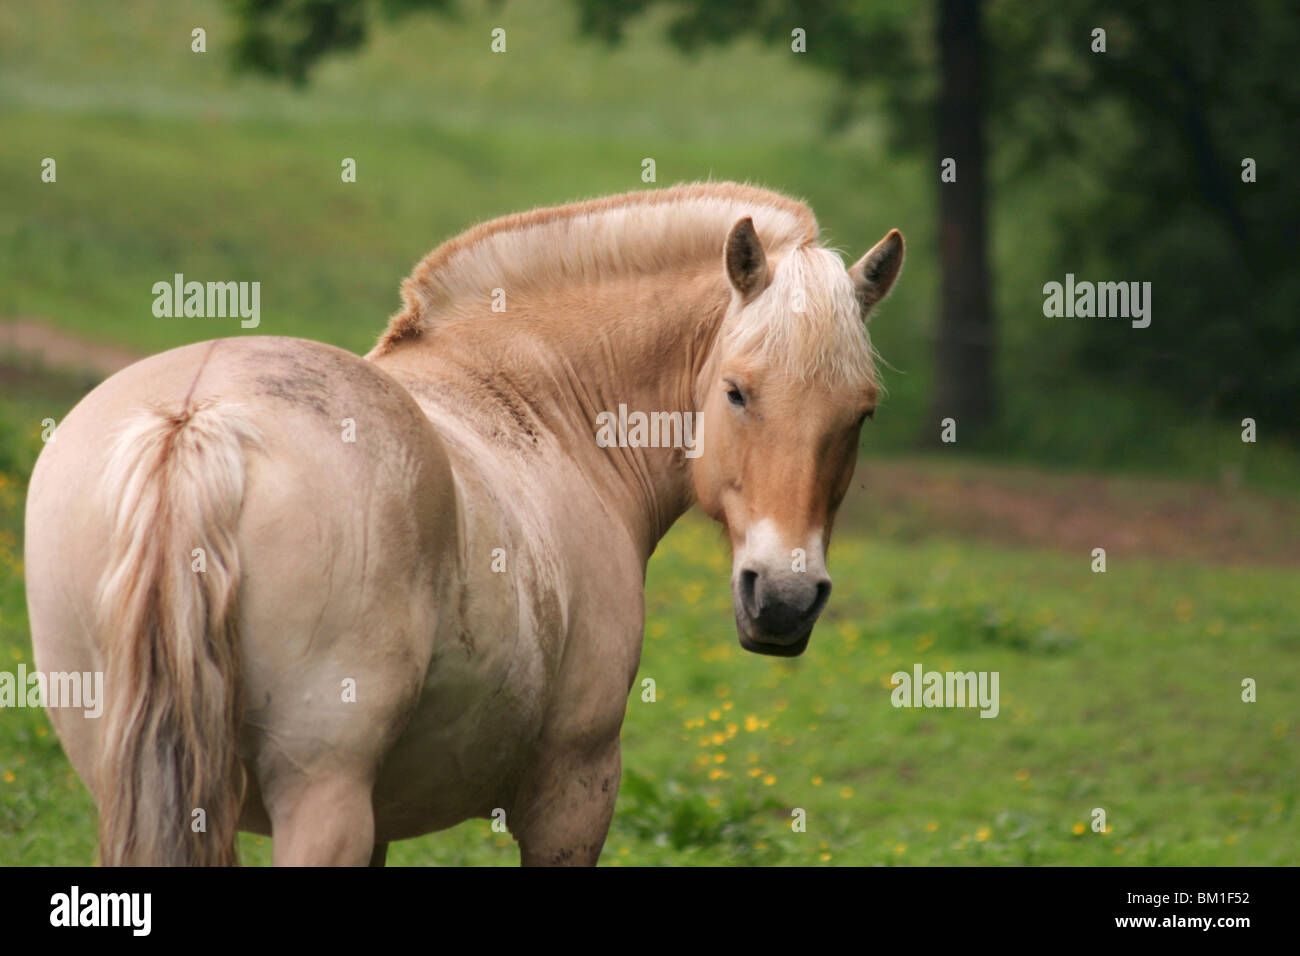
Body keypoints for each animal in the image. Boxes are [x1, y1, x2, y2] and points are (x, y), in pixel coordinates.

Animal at [24, 182, 903, 865]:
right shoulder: (571, 794)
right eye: (736, 391)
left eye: (861, 414)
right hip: (320, 800)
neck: (540, 404)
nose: (784, 599)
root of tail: (197, 422)